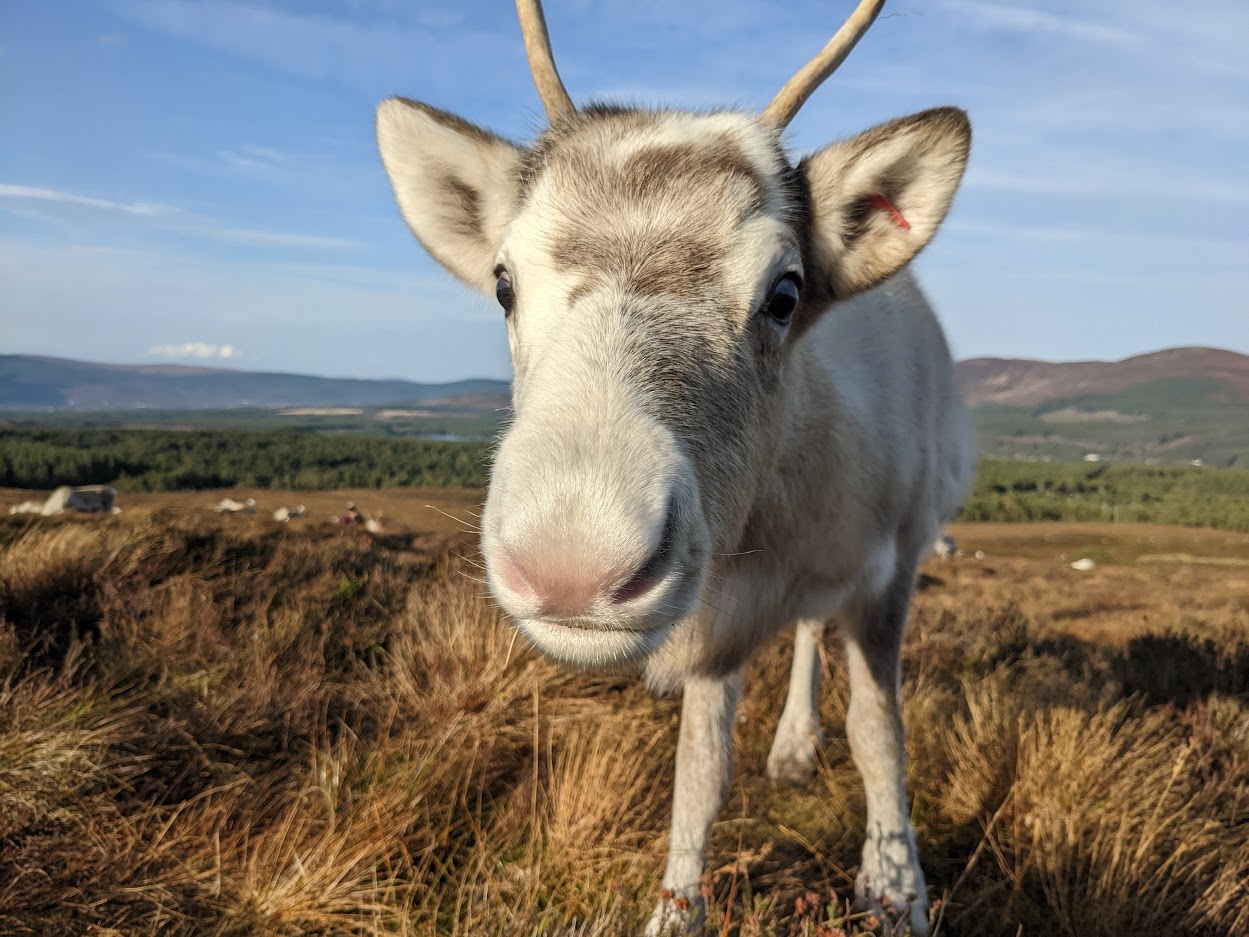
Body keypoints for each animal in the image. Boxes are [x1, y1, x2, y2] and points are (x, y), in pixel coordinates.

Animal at [376, 1, 972, 932]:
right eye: (504, 281)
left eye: (784, 292)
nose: (571, 563)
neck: (784, 504)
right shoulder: (713, 621)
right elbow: (700, 768)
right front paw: (676, 907)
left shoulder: (893, 565)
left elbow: (880, 733)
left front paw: (894, 887)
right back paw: (791, 746)